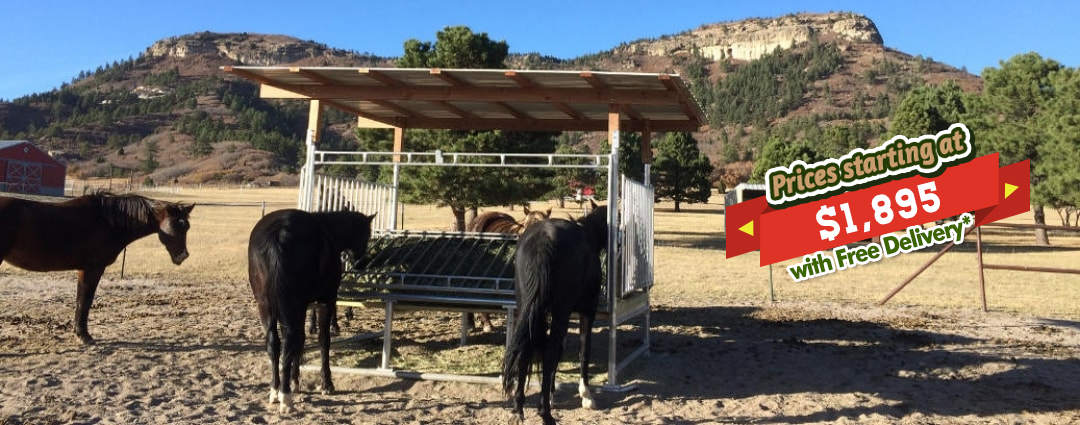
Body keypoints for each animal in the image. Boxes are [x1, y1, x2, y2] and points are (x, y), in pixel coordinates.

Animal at [0, 192, 194, 345]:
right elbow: (85, 300)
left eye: (187, 226)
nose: (183, 256)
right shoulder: (92, 269)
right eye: (175, 225)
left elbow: (81, 300)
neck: (106, 221)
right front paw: (84, 336)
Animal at [248, 209, 374, 413]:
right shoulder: (325, 302)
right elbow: (323, 341)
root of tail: (279, 233)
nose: (362, 263)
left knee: (275, 343)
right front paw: (326, 384)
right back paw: (285, 397)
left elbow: (300, 341)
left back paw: (276, 390)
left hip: (266, 306)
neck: (329, 232)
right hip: (293, 304)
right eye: (366, 234)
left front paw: (295, 380)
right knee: (289, 342)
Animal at [502, 201, 607, 425]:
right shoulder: (586, 312)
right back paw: (546, 413)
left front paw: (551, 394)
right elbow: (582, 350)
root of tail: (543, 241)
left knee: (526, 349)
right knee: (549, 351)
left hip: (526, 308)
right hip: (560, 311)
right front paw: (586, 395)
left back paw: (519, 407)